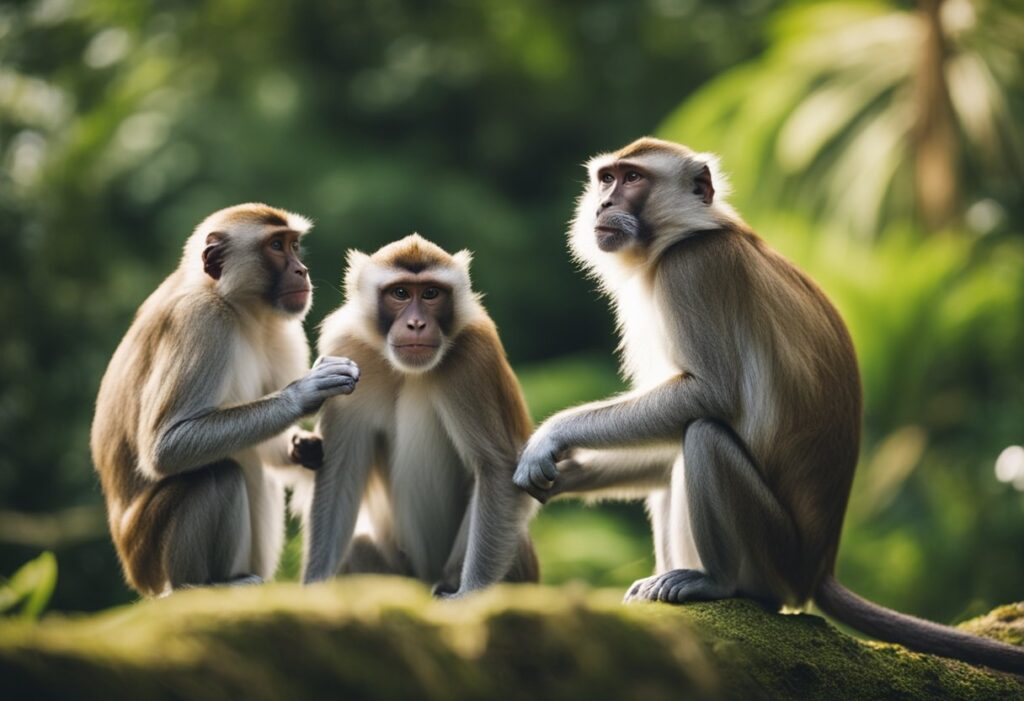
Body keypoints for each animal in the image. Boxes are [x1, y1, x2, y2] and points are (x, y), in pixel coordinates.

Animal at [90, 203, 360, 596]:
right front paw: (305, 393)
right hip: (149, 554)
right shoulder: (201, 319)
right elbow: (164, 446)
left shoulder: (281, 329)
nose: (302, 270)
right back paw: (200, 586)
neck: (234, 305)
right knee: (216, 473)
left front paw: (304, 448)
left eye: (294, 245)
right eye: (276, 246)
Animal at [301, 234, 538, 597]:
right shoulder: (348, 348)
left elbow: (496, 468)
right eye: (400, 293)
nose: (416, 324)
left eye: (430, 293)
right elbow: (339, 473)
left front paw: (468, 596)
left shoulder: (474, 356)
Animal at [513, 137, 1024, 674]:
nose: (604, 204)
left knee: (704, 436)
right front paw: (567, 475)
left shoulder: (691, 271)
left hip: (772, 554)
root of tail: (817, 569)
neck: (685, 234)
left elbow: (709, 395)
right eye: (606, 179)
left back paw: (713, 582)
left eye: (632, 179)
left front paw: (550, 437)